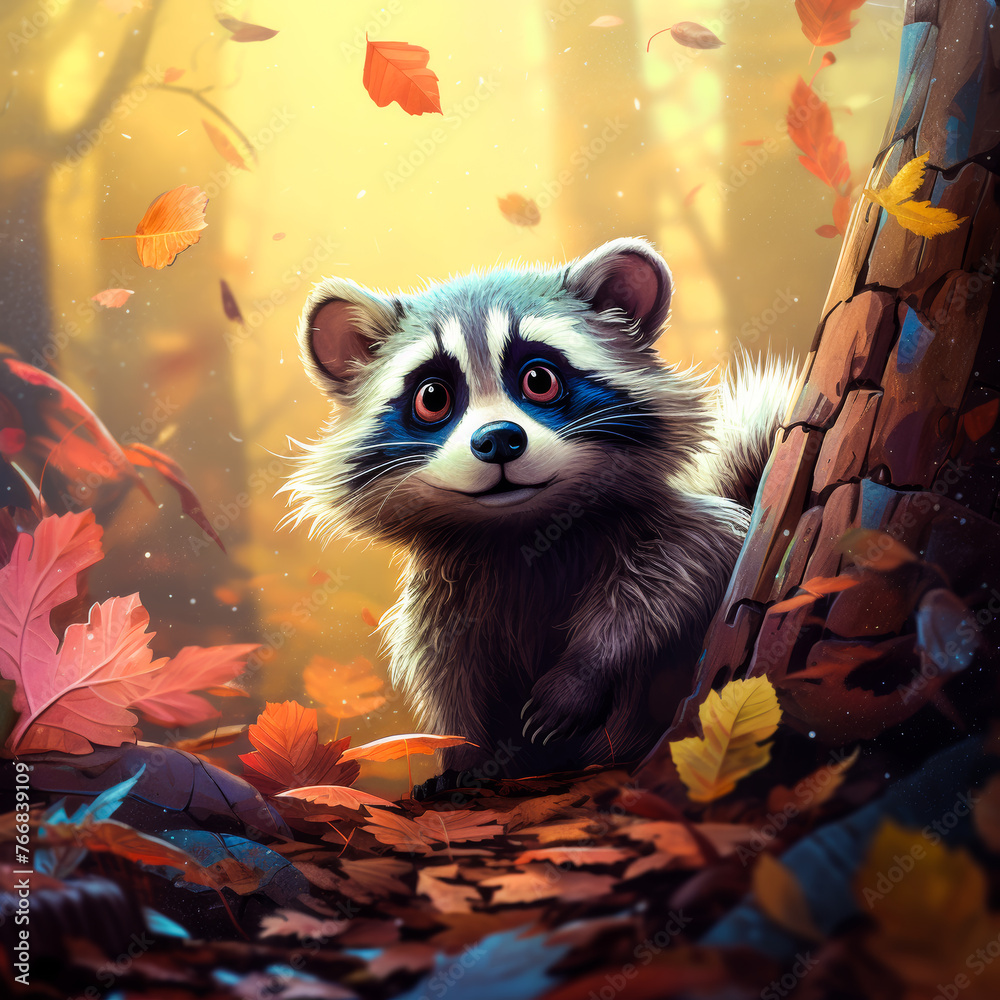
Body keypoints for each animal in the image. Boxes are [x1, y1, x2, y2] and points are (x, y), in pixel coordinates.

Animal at [285, 238, 797, 783]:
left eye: (539, 379)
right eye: (432, 397)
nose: (497, 440)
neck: (522, 527)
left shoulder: (674, 531)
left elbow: (674, 578)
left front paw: (584, 670)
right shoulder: (445, 598)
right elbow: (449, 674)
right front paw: (464, 752)